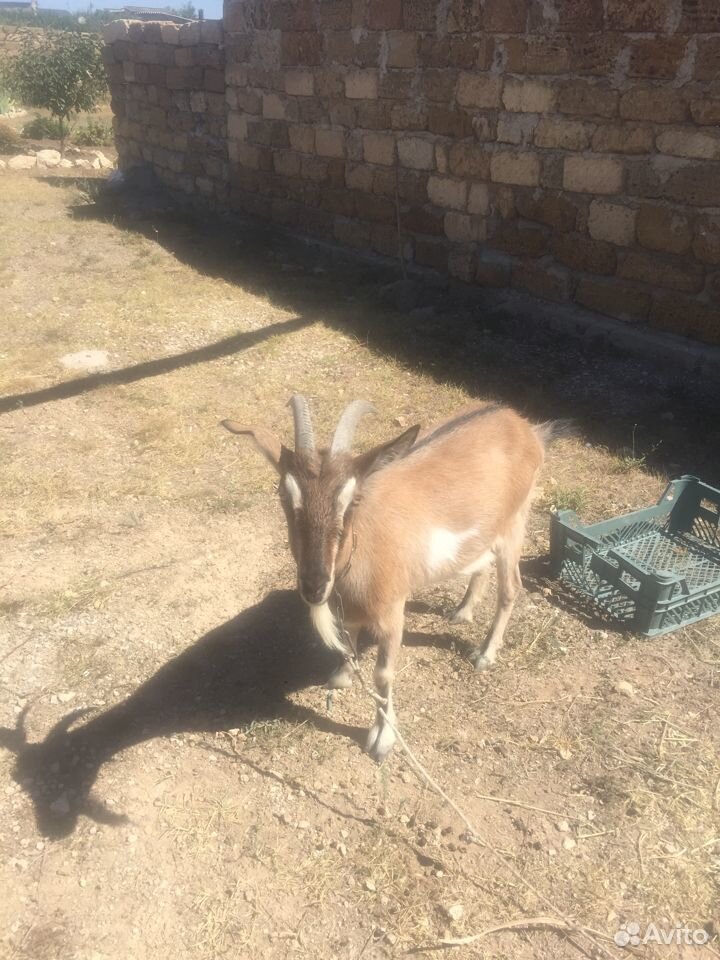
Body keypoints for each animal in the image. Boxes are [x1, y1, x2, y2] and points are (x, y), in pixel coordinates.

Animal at [222, 396, 561, 763]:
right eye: (285, 496)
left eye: (353, 500)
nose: (314, 585)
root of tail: (524, 426)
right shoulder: (348, 609)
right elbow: (349, 641)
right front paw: (342, 676)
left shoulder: (391, 614)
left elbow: (383, 675)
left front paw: (382, 739)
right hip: (485, 530)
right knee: (480, 563)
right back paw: (463, 611)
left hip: (515, 523)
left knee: (511, 588)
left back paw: (485, 655)